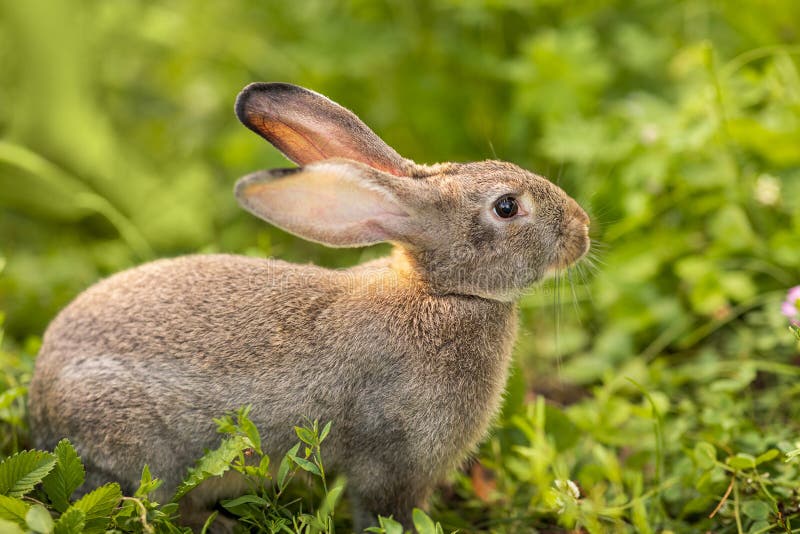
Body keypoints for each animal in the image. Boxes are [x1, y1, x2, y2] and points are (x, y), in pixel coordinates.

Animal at [28, 82, 590, 531]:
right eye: (506, 207)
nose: (582, 229)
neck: (440, 292)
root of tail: (40, 402)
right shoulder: (394, 459)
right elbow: (384, 511)